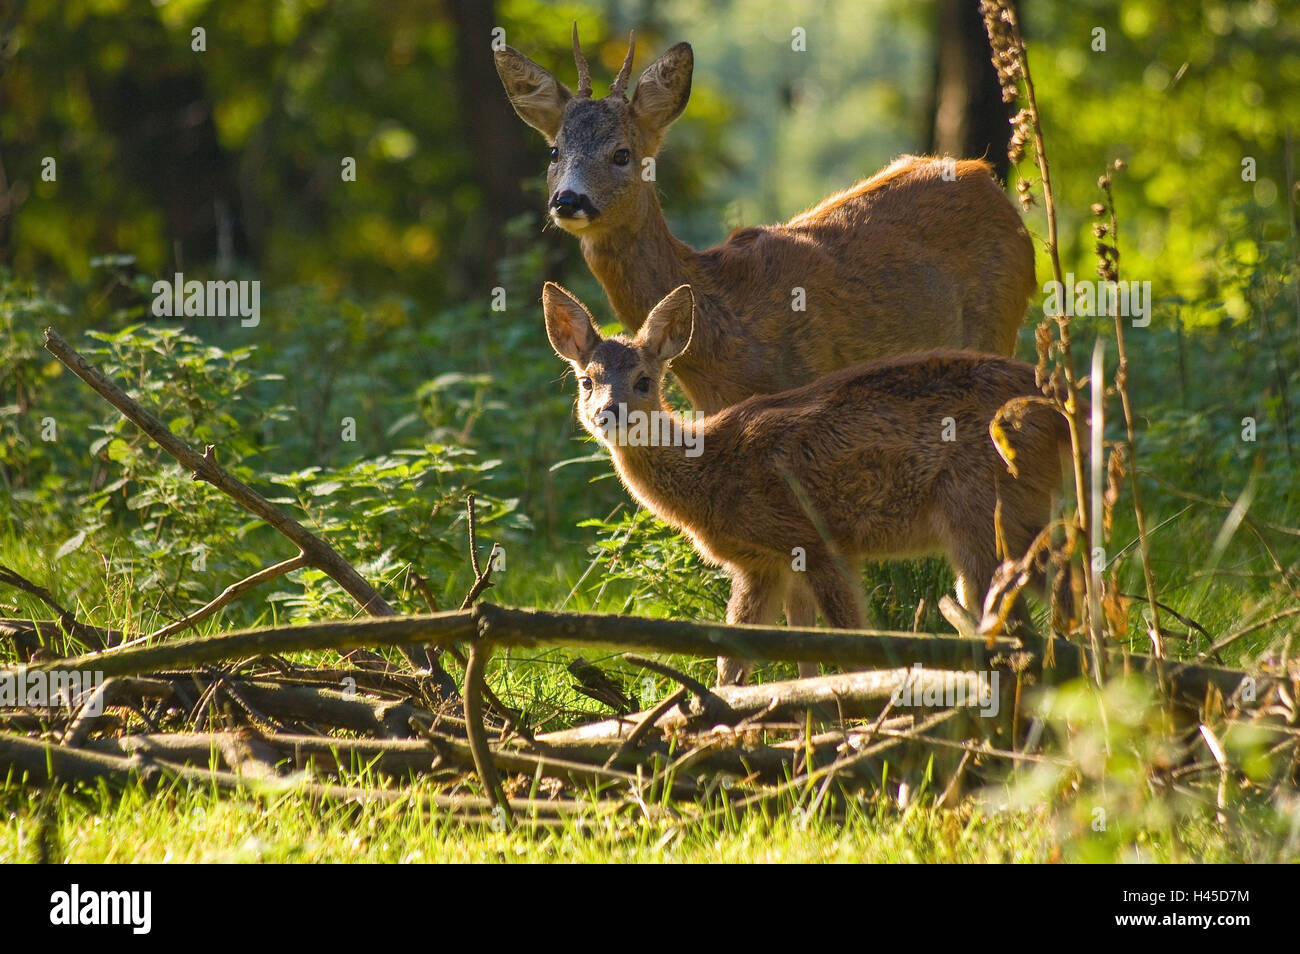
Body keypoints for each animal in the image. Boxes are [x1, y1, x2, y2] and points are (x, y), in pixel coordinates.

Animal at [499, 29, 1039, 656]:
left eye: (622, 153)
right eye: (554, 151)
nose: (569, 201)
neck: (722, 324)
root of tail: (987, 178)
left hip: (1000, 321)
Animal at [543, 283, 1067, 685]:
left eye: (644, 381)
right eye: (586, 381)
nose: (607, 413)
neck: (711, 465)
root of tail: (1064, 411)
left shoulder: (818, 541)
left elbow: (853, 646)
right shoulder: (762, 566)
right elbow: (750, 660)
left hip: (979, 508)